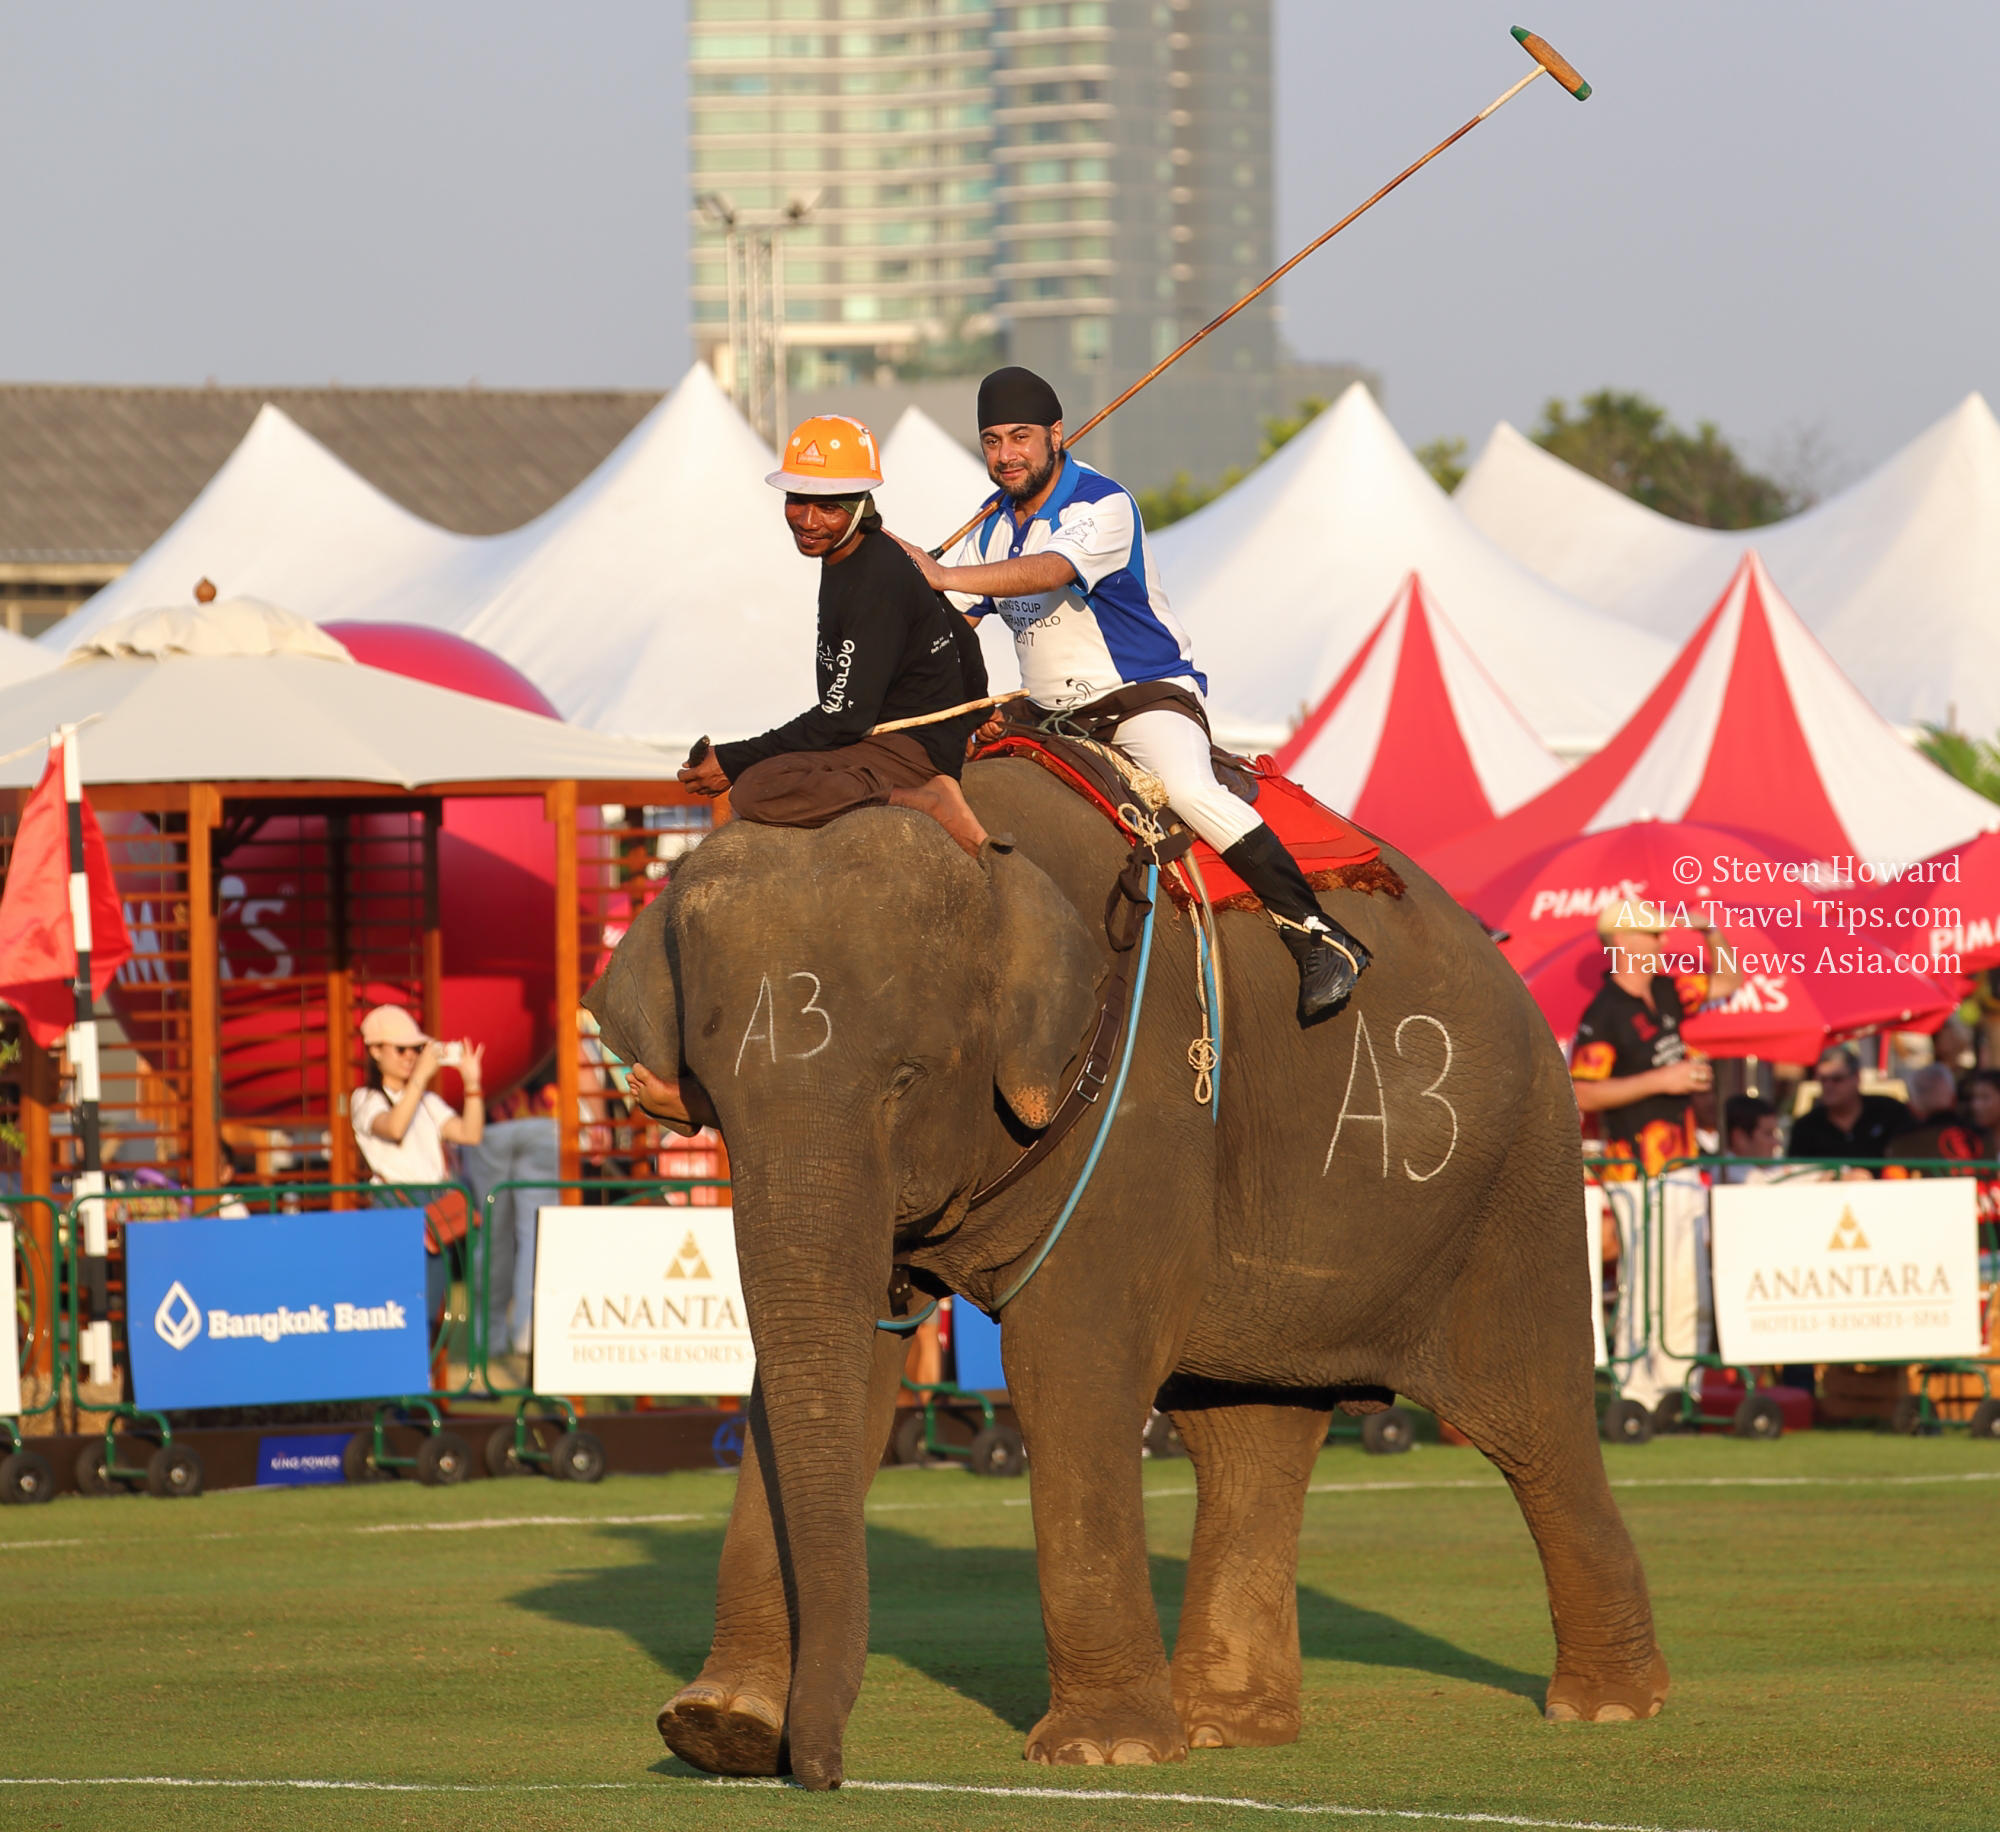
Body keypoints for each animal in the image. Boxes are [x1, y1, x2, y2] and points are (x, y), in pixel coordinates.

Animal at [584, 755, 1667, 1792]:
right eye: (710, 1093)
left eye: (906, 1077)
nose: (824, 1772)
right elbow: (833, 1371)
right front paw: (715, 1728)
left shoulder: (1144, 1097)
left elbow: (1067, 1364)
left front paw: (1105, 1755)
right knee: (1250, 1436)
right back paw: (1227, 1727)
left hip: (1520, 1175)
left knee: (1531, 1419)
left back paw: (1609, 1706)